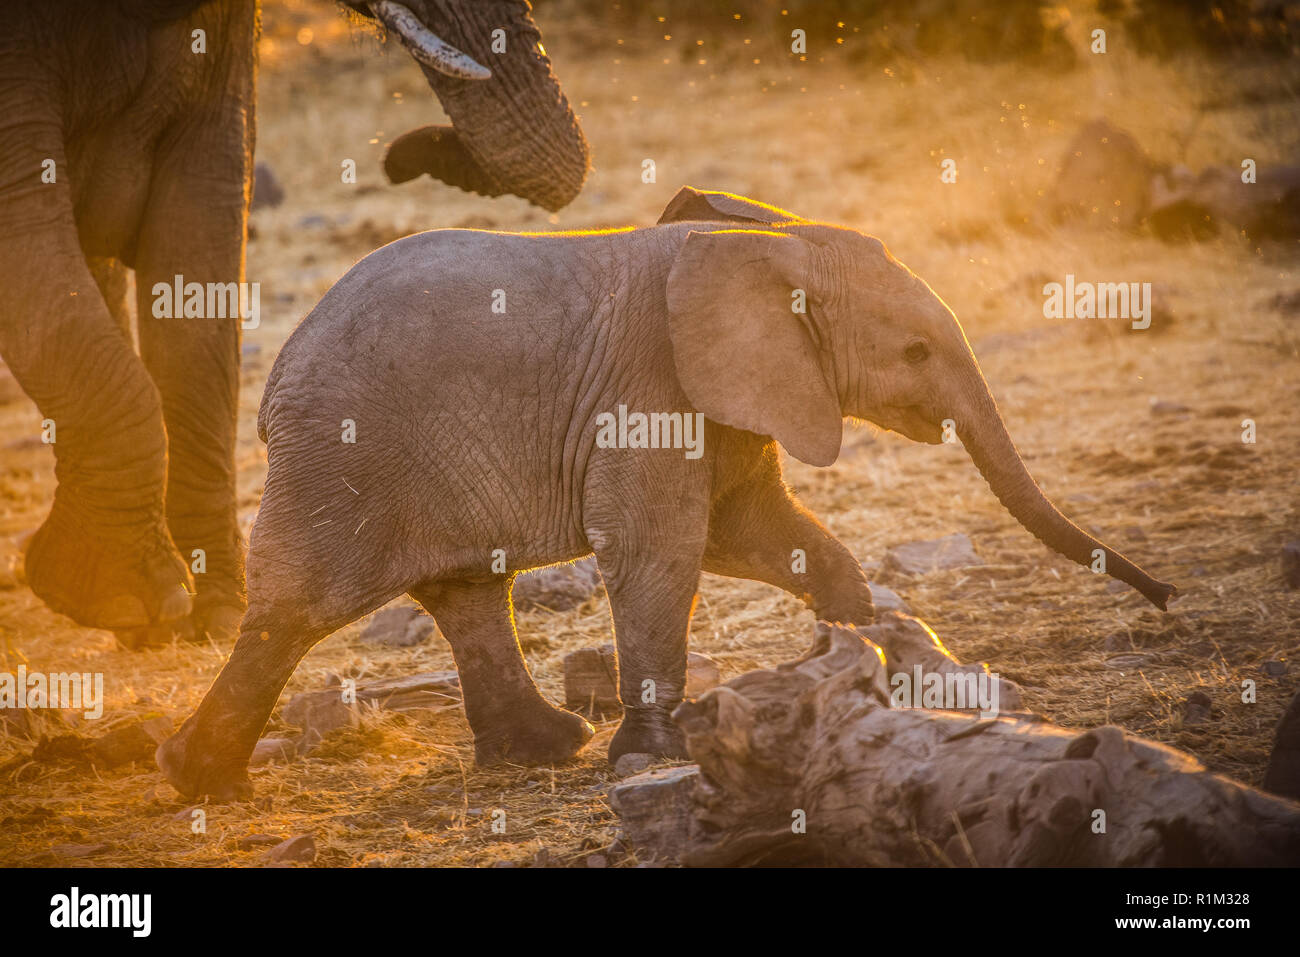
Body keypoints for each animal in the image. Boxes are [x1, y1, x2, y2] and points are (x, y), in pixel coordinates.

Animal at [156, 186, 1176, 800]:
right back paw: (201, 781)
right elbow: (662, 550)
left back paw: (545, 746)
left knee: (468, 592)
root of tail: (274, 382)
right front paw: (655, 755)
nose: (1166, 597)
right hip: (346, 453)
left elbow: (754, 532)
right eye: (918, 352)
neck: (761, 240)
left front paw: (874, 653)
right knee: (299, 608)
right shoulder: (650, 387)